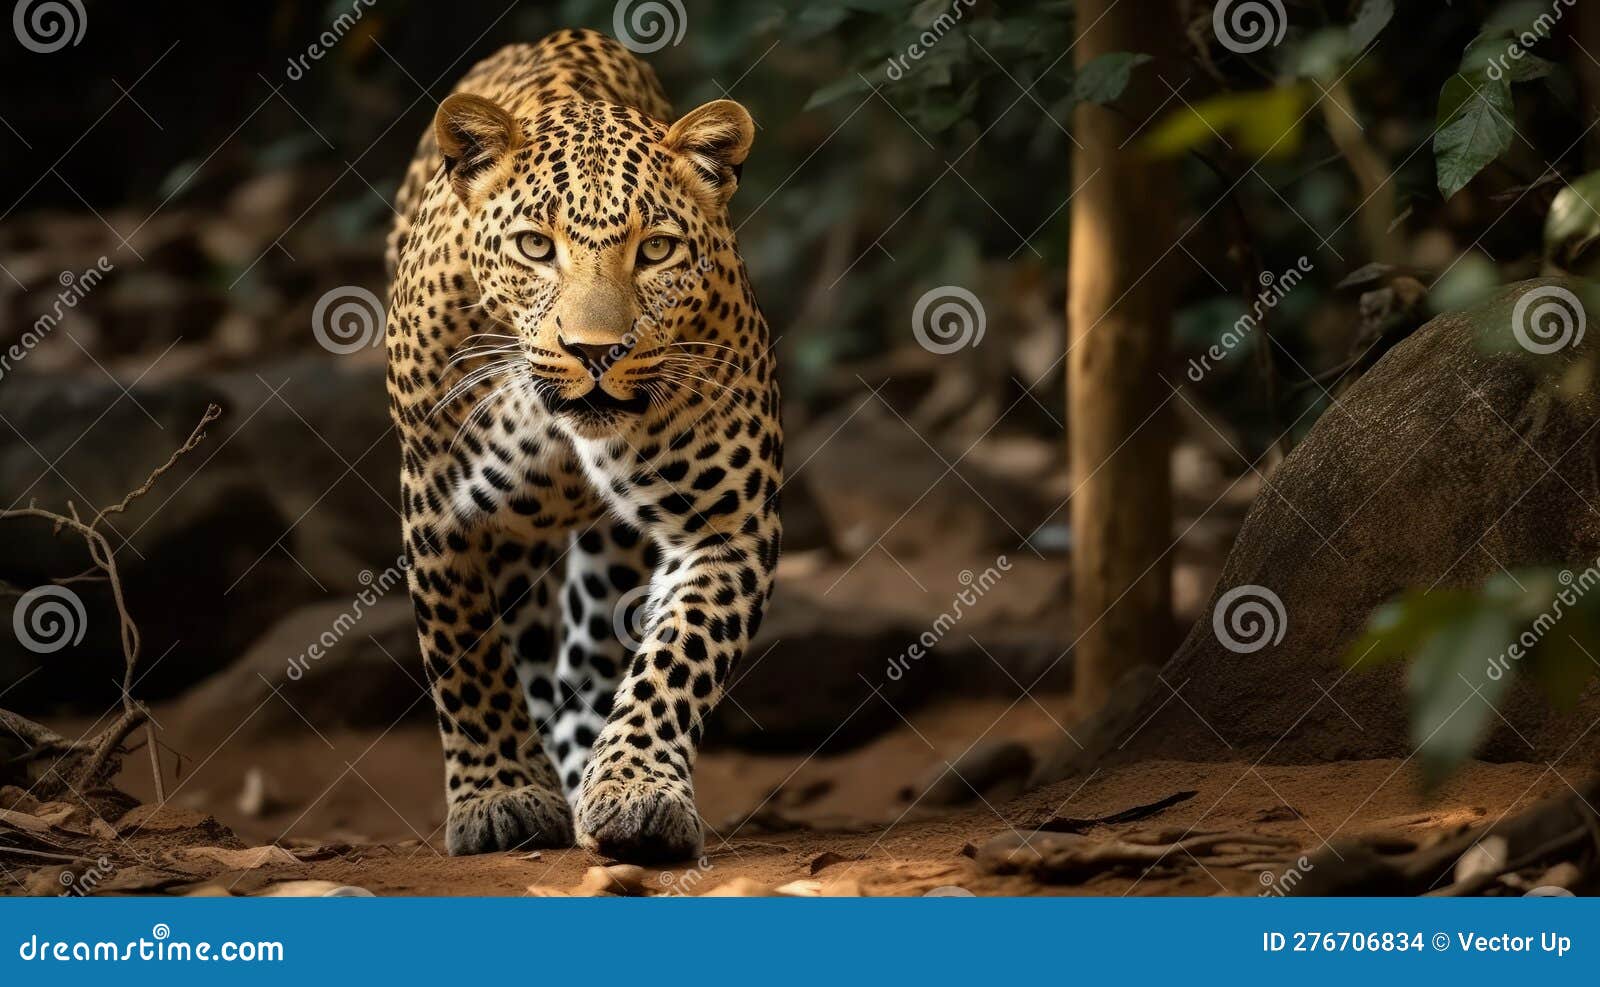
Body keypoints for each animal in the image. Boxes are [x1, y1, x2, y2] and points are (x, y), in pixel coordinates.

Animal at [384, 28, 781, 863]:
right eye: (536, 245)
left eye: (656, 249)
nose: (595, 350)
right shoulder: (437, 506)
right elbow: (466, 655)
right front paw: (501, 794)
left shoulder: (728, 524)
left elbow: (678, 656)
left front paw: (635, 789)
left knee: (593, 652)